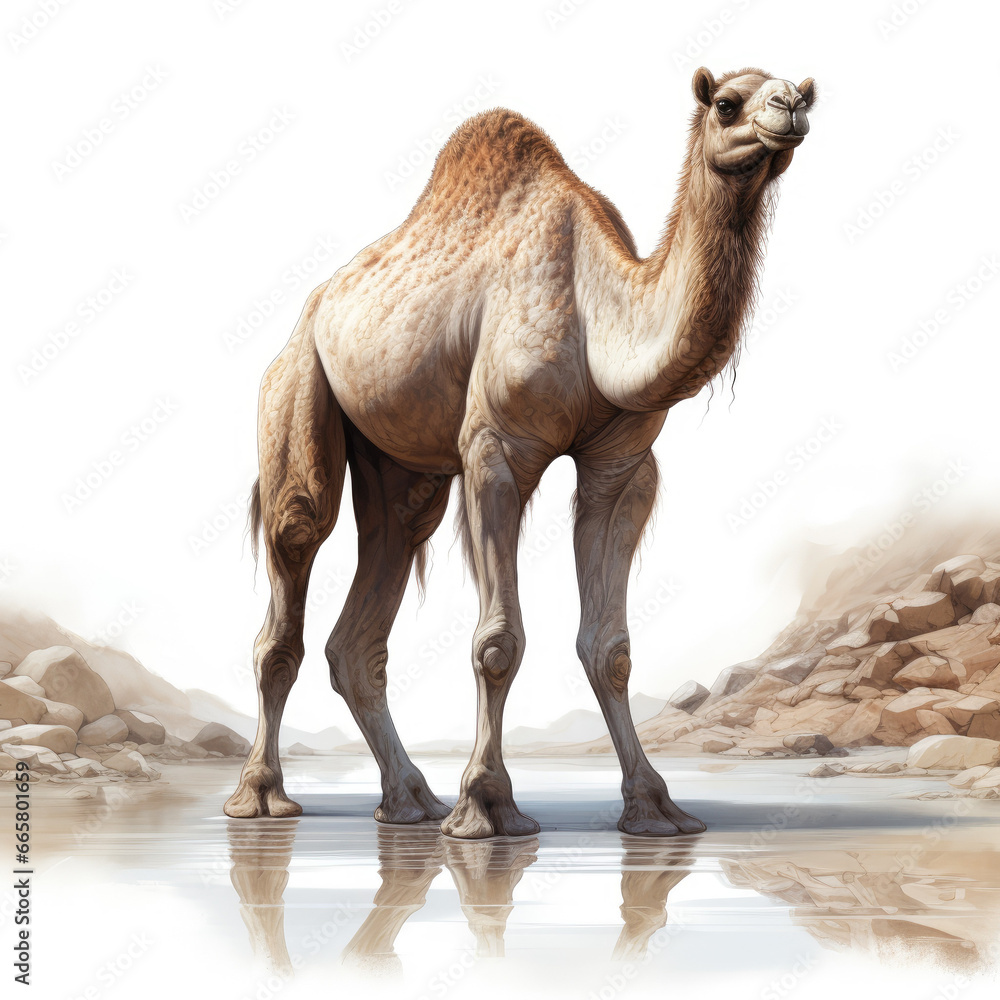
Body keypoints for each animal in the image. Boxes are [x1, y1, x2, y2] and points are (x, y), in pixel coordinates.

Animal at [224, 66, 815, 837]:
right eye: (726, 103)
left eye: (800, 88)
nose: (791, 106)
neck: (602, 310)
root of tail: (310, 313)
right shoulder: (496, 449)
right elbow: (498, 641)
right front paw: (487, 806)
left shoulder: (622, 468)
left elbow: (610, 646)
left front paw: (655, 806)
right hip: (298, 389)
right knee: (295, 550)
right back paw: (262, 797)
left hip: (402, 468)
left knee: (372, 595)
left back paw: (409, 800)